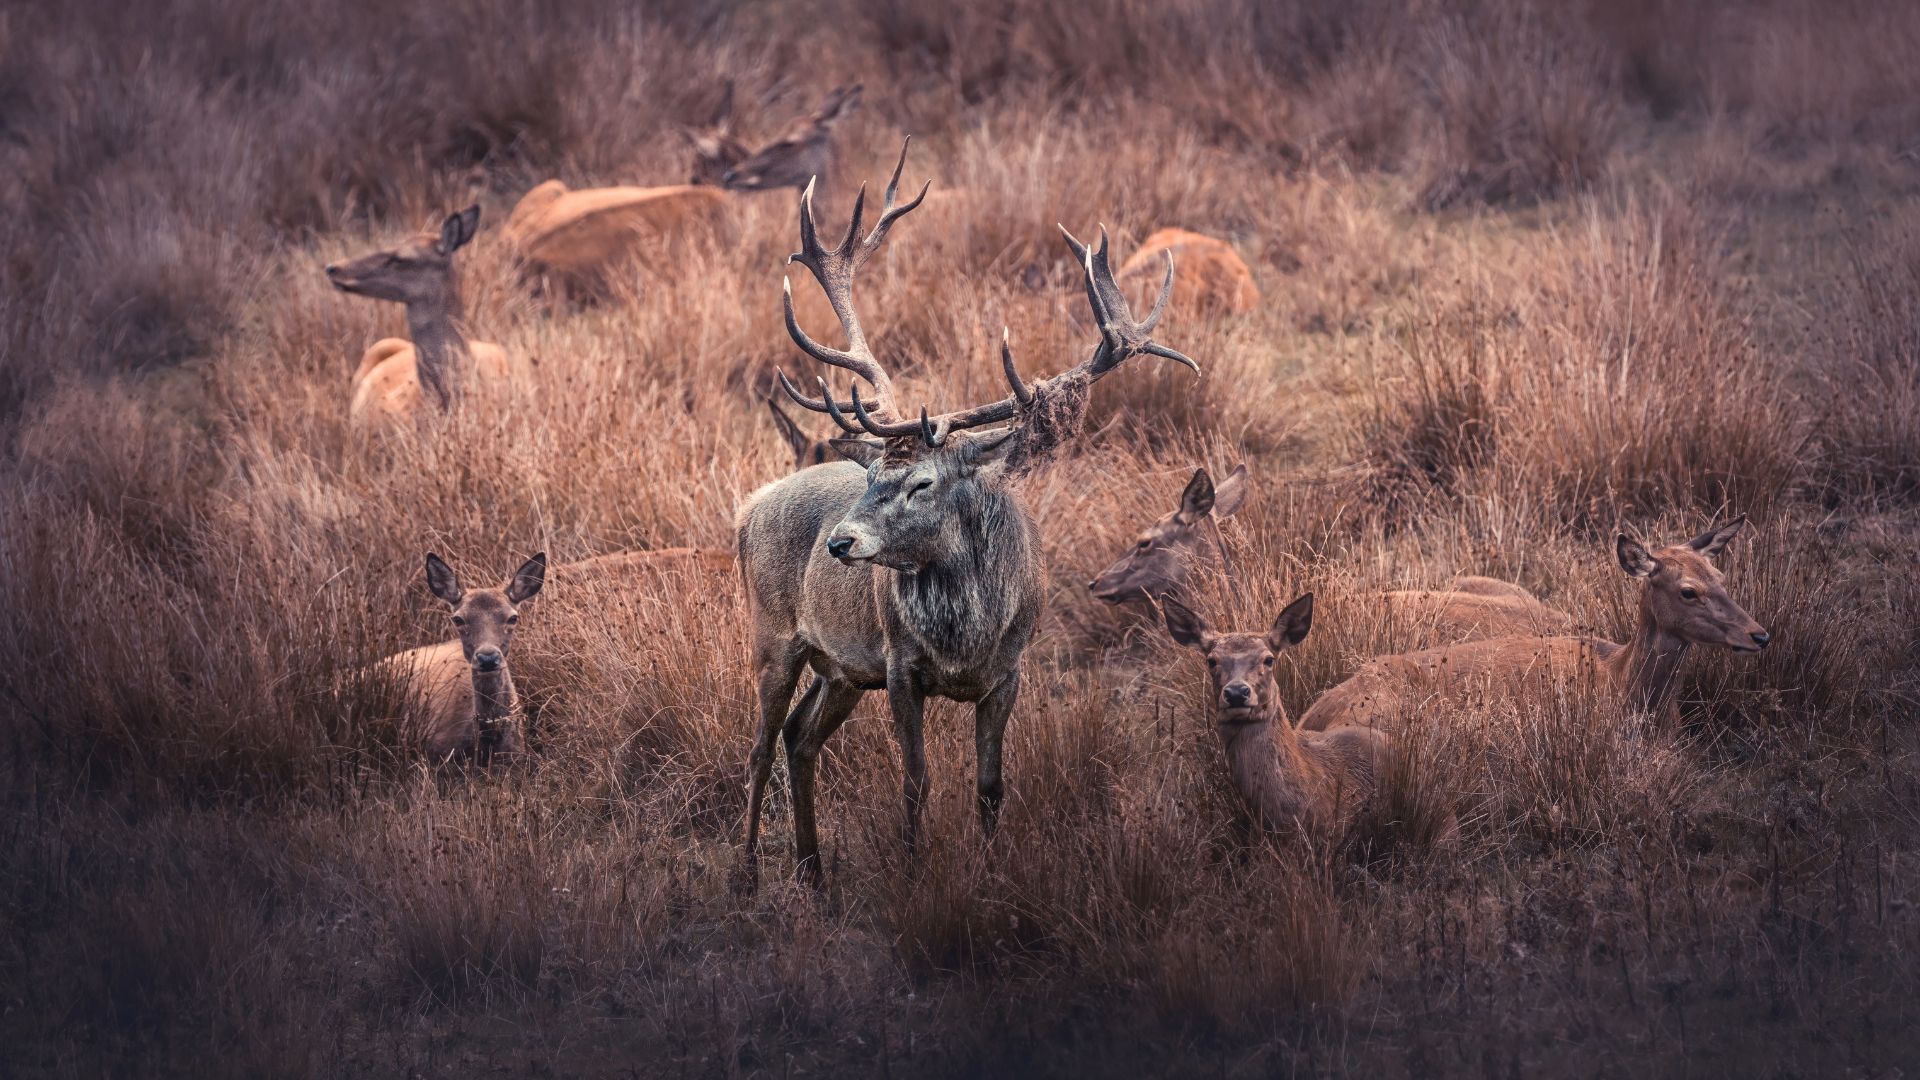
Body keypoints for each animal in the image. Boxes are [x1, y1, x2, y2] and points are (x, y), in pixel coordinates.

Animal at [735, 140, 1200, 884]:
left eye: (923, 482)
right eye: (872, 473)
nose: (840, 542)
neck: (965, 638)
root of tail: (746, 511)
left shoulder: (1009, 672)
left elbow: (990, 786)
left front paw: (989, 875)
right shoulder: (899, 665)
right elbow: (915, 780)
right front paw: (914, 871)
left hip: (841, 670)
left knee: (799, 738)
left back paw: (812, 870)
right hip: (773, 634)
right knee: (758, 745)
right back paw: (748, 872)